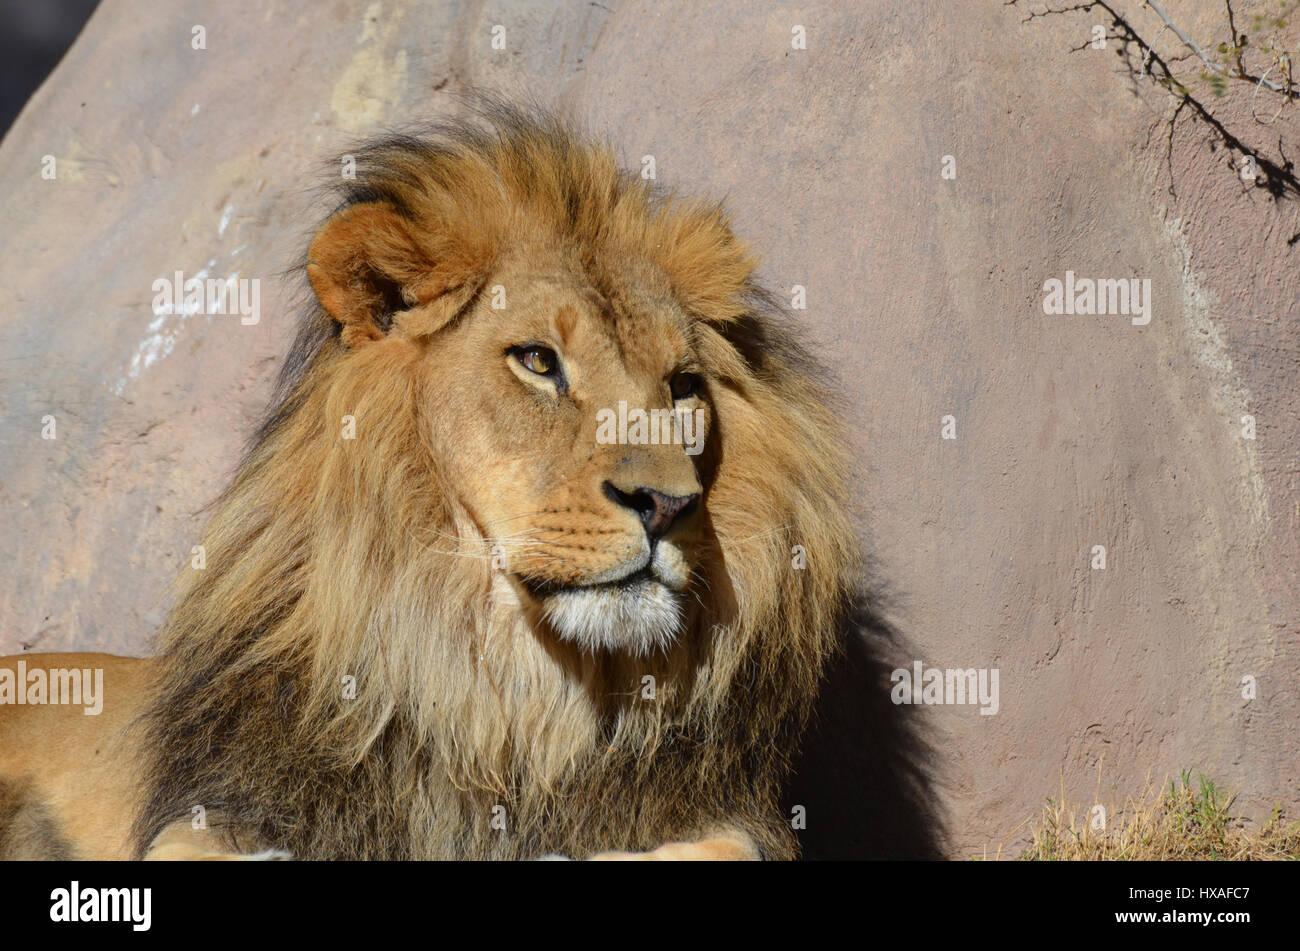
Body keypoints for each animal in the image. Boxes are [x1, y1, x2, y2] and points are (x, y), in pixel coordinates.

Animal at [0, 103, 859, 860]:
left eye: (682, 386)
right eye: (538, 361)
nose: (669, 504)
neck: (501, 699)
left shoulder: (720, 814)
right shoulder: (229, 807)